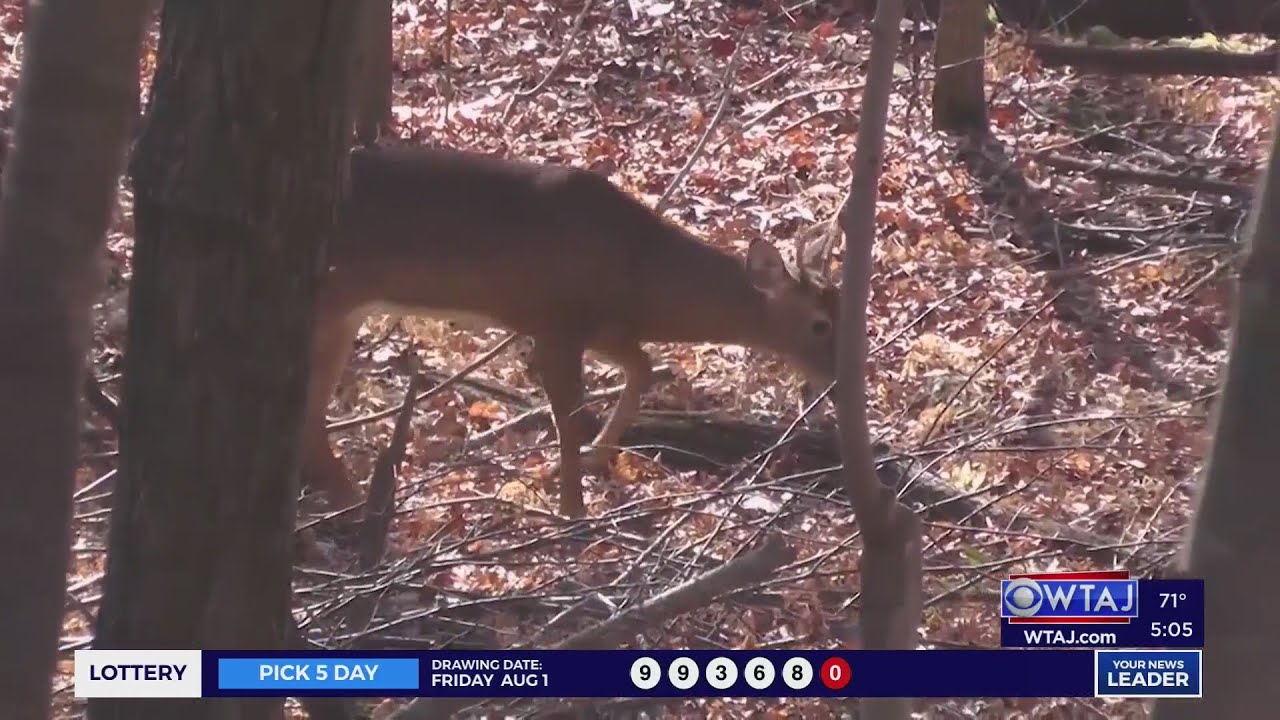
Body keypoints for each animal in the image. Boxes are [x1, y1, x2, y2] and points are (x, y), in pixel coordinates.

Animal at [302, 144, 841, 519]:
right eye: (821, 325)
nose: (839, 380)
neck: (639, 272)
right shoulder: (553, 320)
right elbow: (568, 416)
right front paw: (572, 510)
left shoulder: (600, 328)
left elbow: (641, 368)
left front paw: (594, 459)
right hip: (331, 301)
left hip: (343, 312)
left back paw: (348, 502)